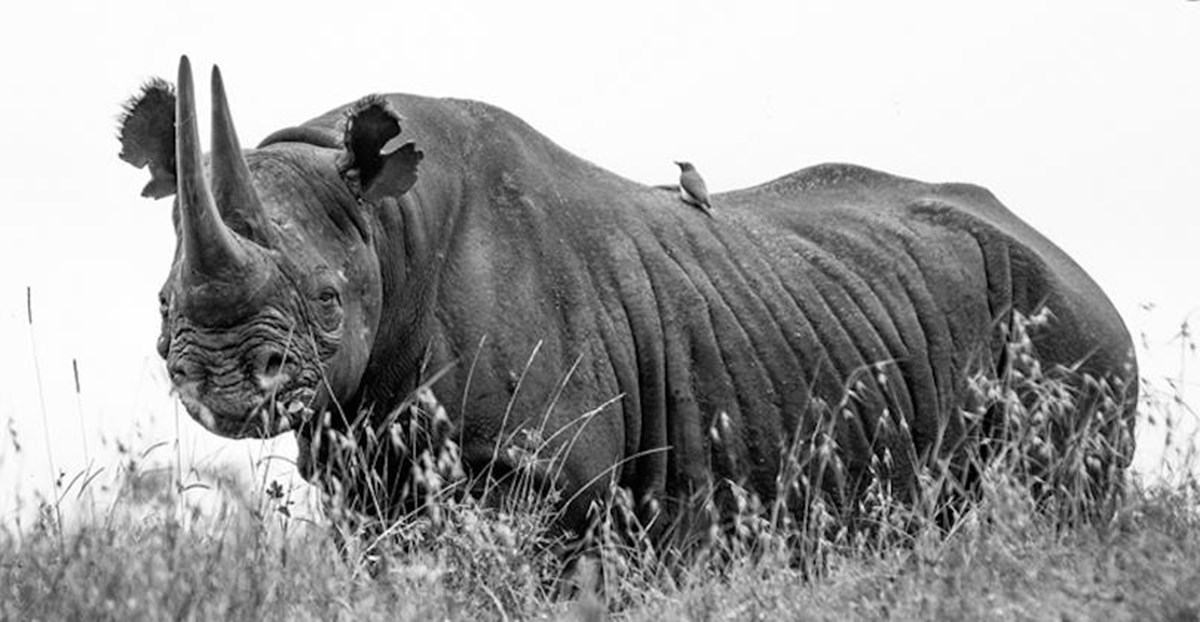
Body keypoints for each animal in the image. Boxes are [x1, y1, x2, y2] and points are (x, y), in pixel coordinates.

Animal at [119, 57, 1137, 540]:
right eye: (162, 306)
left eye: (329, 303)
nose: (220, 377)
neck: (387, 231)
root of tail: (1068, 256)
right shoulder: (364, 461)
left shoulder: (546, 475)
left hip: (1074, 334)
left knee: (1062, 498)